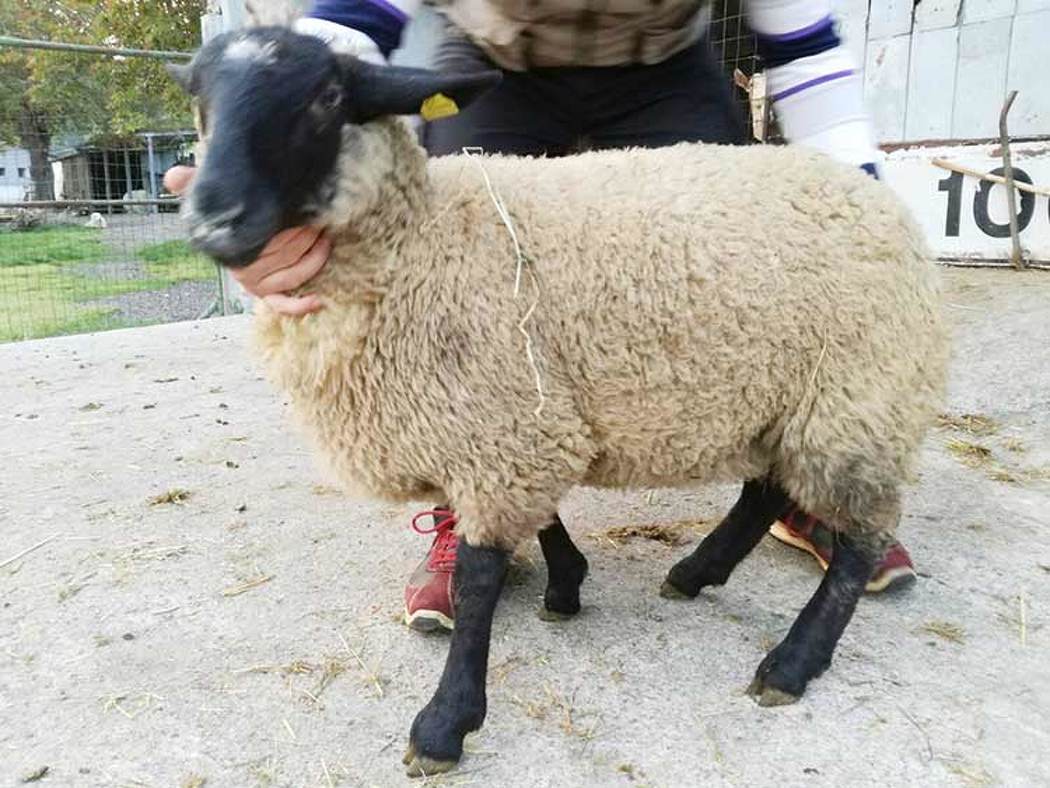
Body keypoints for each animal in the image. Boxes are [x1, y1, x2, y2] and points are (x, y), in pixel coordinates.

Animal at [169, 26, 950, 777]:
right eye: (200, 98)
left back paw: (792, 662)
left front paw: (446, 724)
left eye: (327, 98)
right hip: (787, 397)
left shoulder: (501, 424)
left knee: (857, 541)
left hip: (856, 397)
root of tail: (877, 197)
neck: (418, 240)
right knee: (764, 492)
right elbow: (540, 515)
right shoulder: (520, 415)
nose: (214, 222)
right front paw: (566, 585)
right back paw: (696, 573)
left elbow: (480, 580)